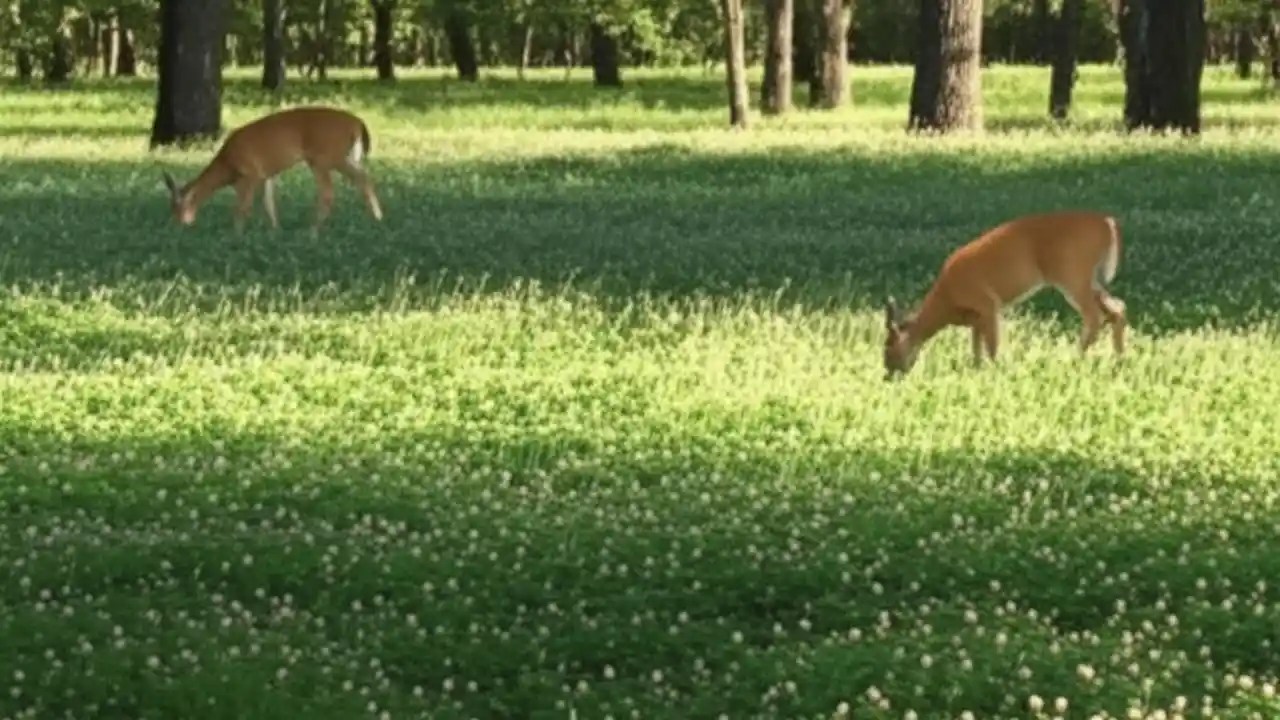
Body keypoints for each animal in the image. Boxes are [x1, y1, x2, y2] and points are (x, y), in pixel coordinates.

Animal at [160, 106, 384, 233]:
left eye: (178, 207)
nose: (177, 225)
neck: (226, 166)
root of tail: (357, 123)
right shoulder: (266, 175)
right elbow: (269, 205)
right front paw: (276, 232)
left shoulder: (248, 173)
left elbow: (242, 208)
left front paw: (235, 235)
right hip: (342, 156)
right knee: (364, 178)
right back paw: (377, 219)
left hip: (324, 156)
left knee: (330, 192)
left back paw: (312, 231)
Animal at [882, 210, 1128, 379]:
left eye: (889, 351)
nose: (889, 376)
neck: (947, 301)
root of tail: (1108, 223)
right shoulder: (976, 317)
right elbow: (976, 348)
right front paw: (976, 372)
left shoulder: (988, 303)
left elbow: (992, 347)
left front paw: (995, 373)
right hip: (1091, 279)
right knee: (1118, 307)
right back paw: (1118, 359)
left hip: (1072, 273)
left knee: (1095, 315)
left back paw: (1075, 358)